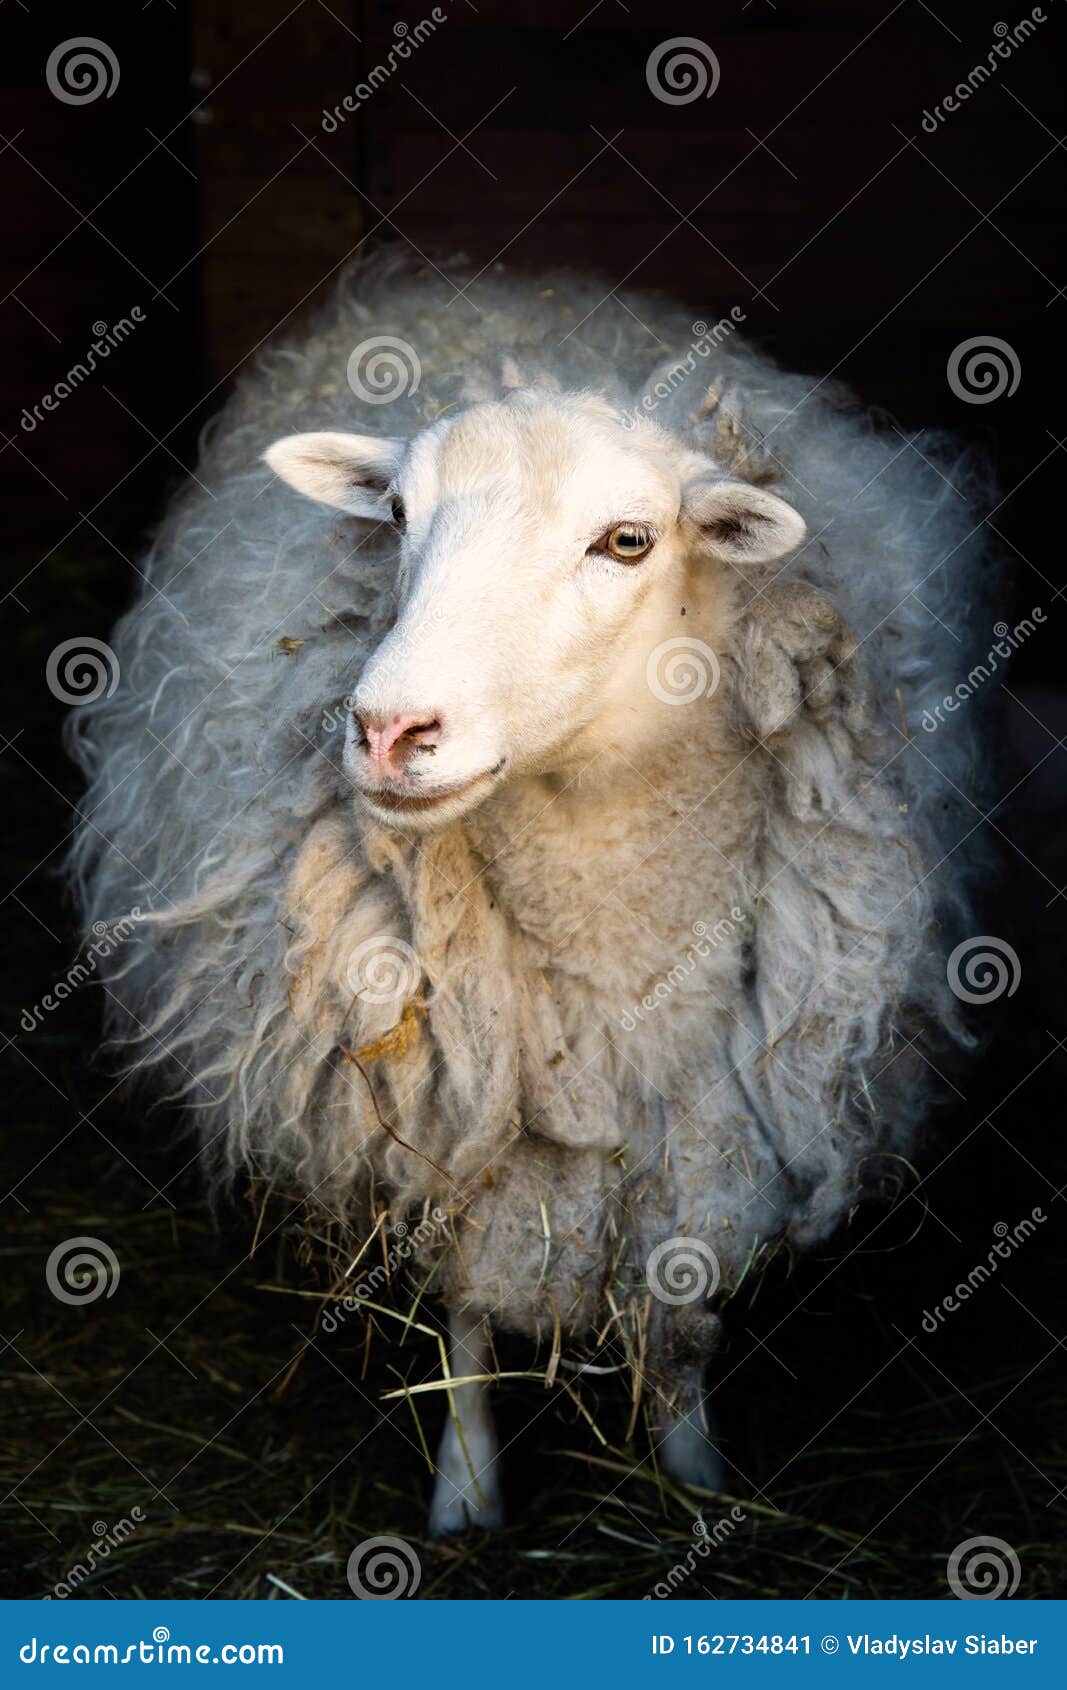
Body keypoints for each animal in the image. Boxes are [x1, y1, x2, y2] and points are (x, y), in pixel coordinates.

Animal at [68, 252, 996, 1536]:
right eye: (396, 517)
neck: (610, 940)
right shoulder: (447, 1093)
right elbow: (462, 1304)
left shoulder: (713, 1112)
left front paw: (689, 1475)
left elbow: (682, 1295)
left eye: (626, 540)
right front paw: (466, 1496)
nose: (388, 728)